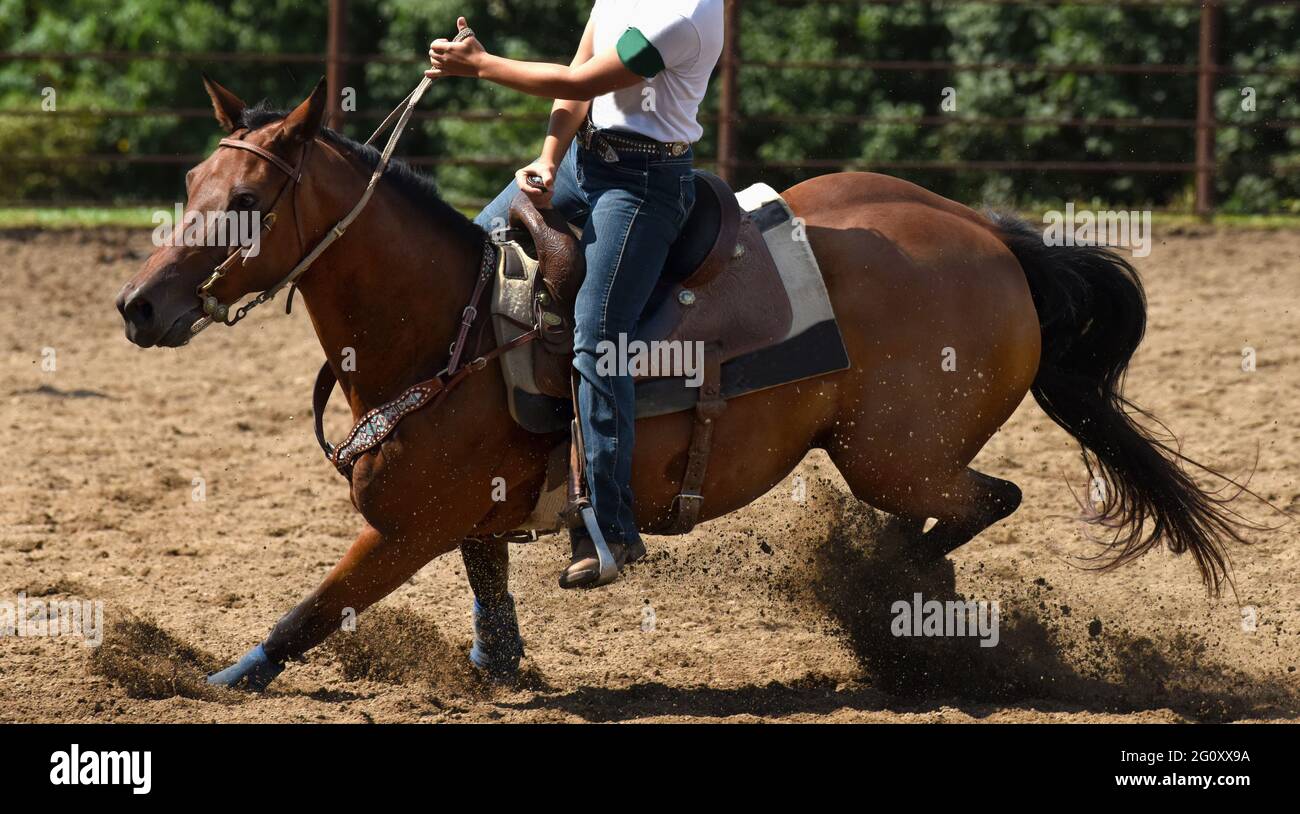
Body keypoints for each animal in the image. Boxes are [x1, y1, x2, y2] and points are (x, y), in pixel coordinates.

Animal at [115, 78, 1250, 689]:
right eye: (191, 181)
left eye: (249, 198)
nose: (137, 306)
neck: (452, 323)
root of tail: (989, 235)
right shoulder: (467, 517)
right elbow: (490, 600)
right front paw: (499, 669)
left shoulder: (408, 525)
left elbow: (312, 610)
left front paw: (211, 679)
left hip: (897, 456)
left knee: (984, 501)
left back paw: (885, 585)